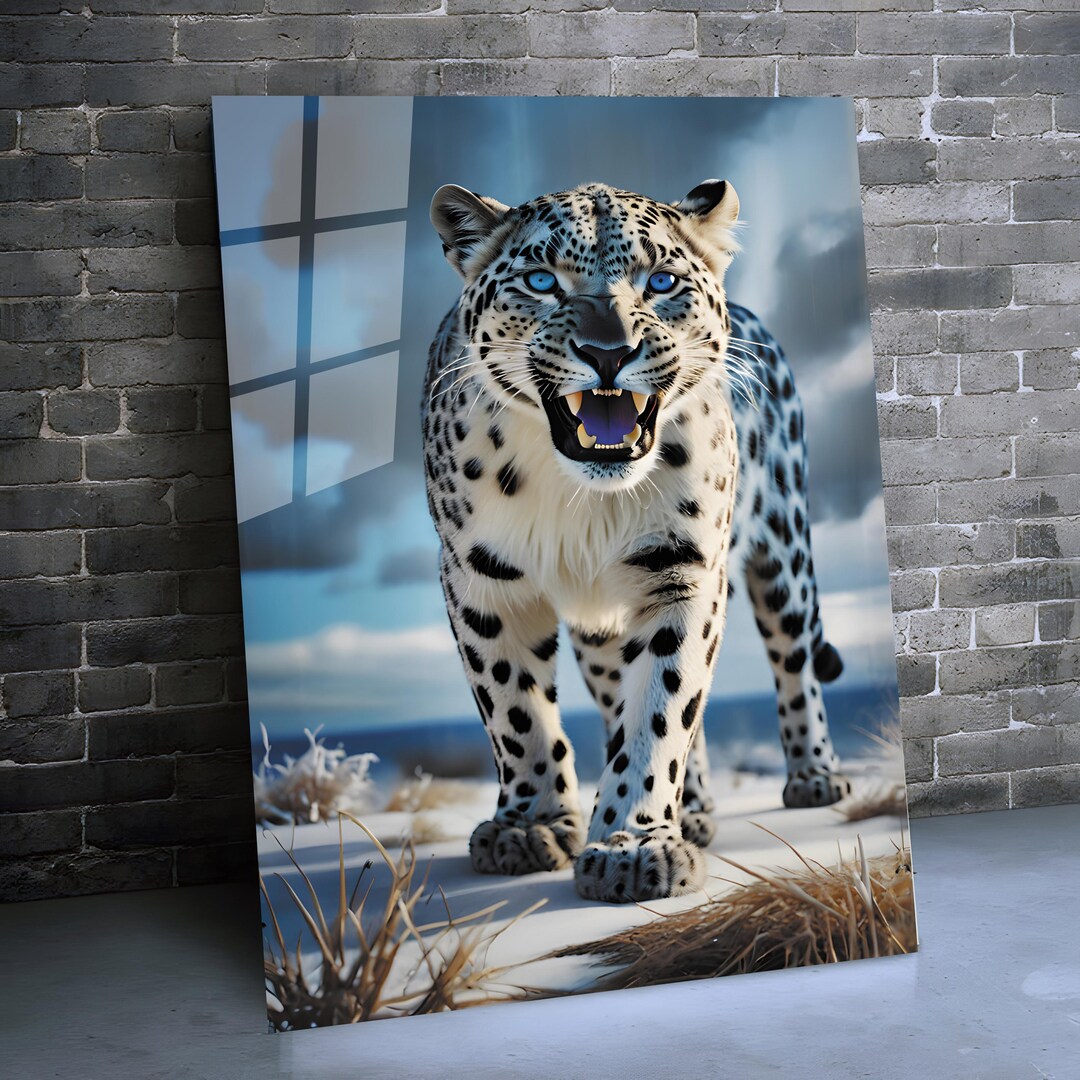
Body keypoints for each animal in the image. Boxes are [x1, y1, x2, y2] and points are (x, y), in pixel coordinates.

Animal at [422, 179, 851, 905]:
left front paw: (631, 844)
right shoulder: (482, 583)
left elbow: (661, 709)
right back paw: (697, 809)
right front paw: (531, 827)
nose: (608, 355)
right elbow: (516, 712)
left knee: (794, 663)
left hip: (785, 552)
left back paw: (814, 776)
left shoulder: (683, 570)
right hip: (600, 631)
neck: (580, 497)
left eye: (662, 281)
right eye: (542, 281)